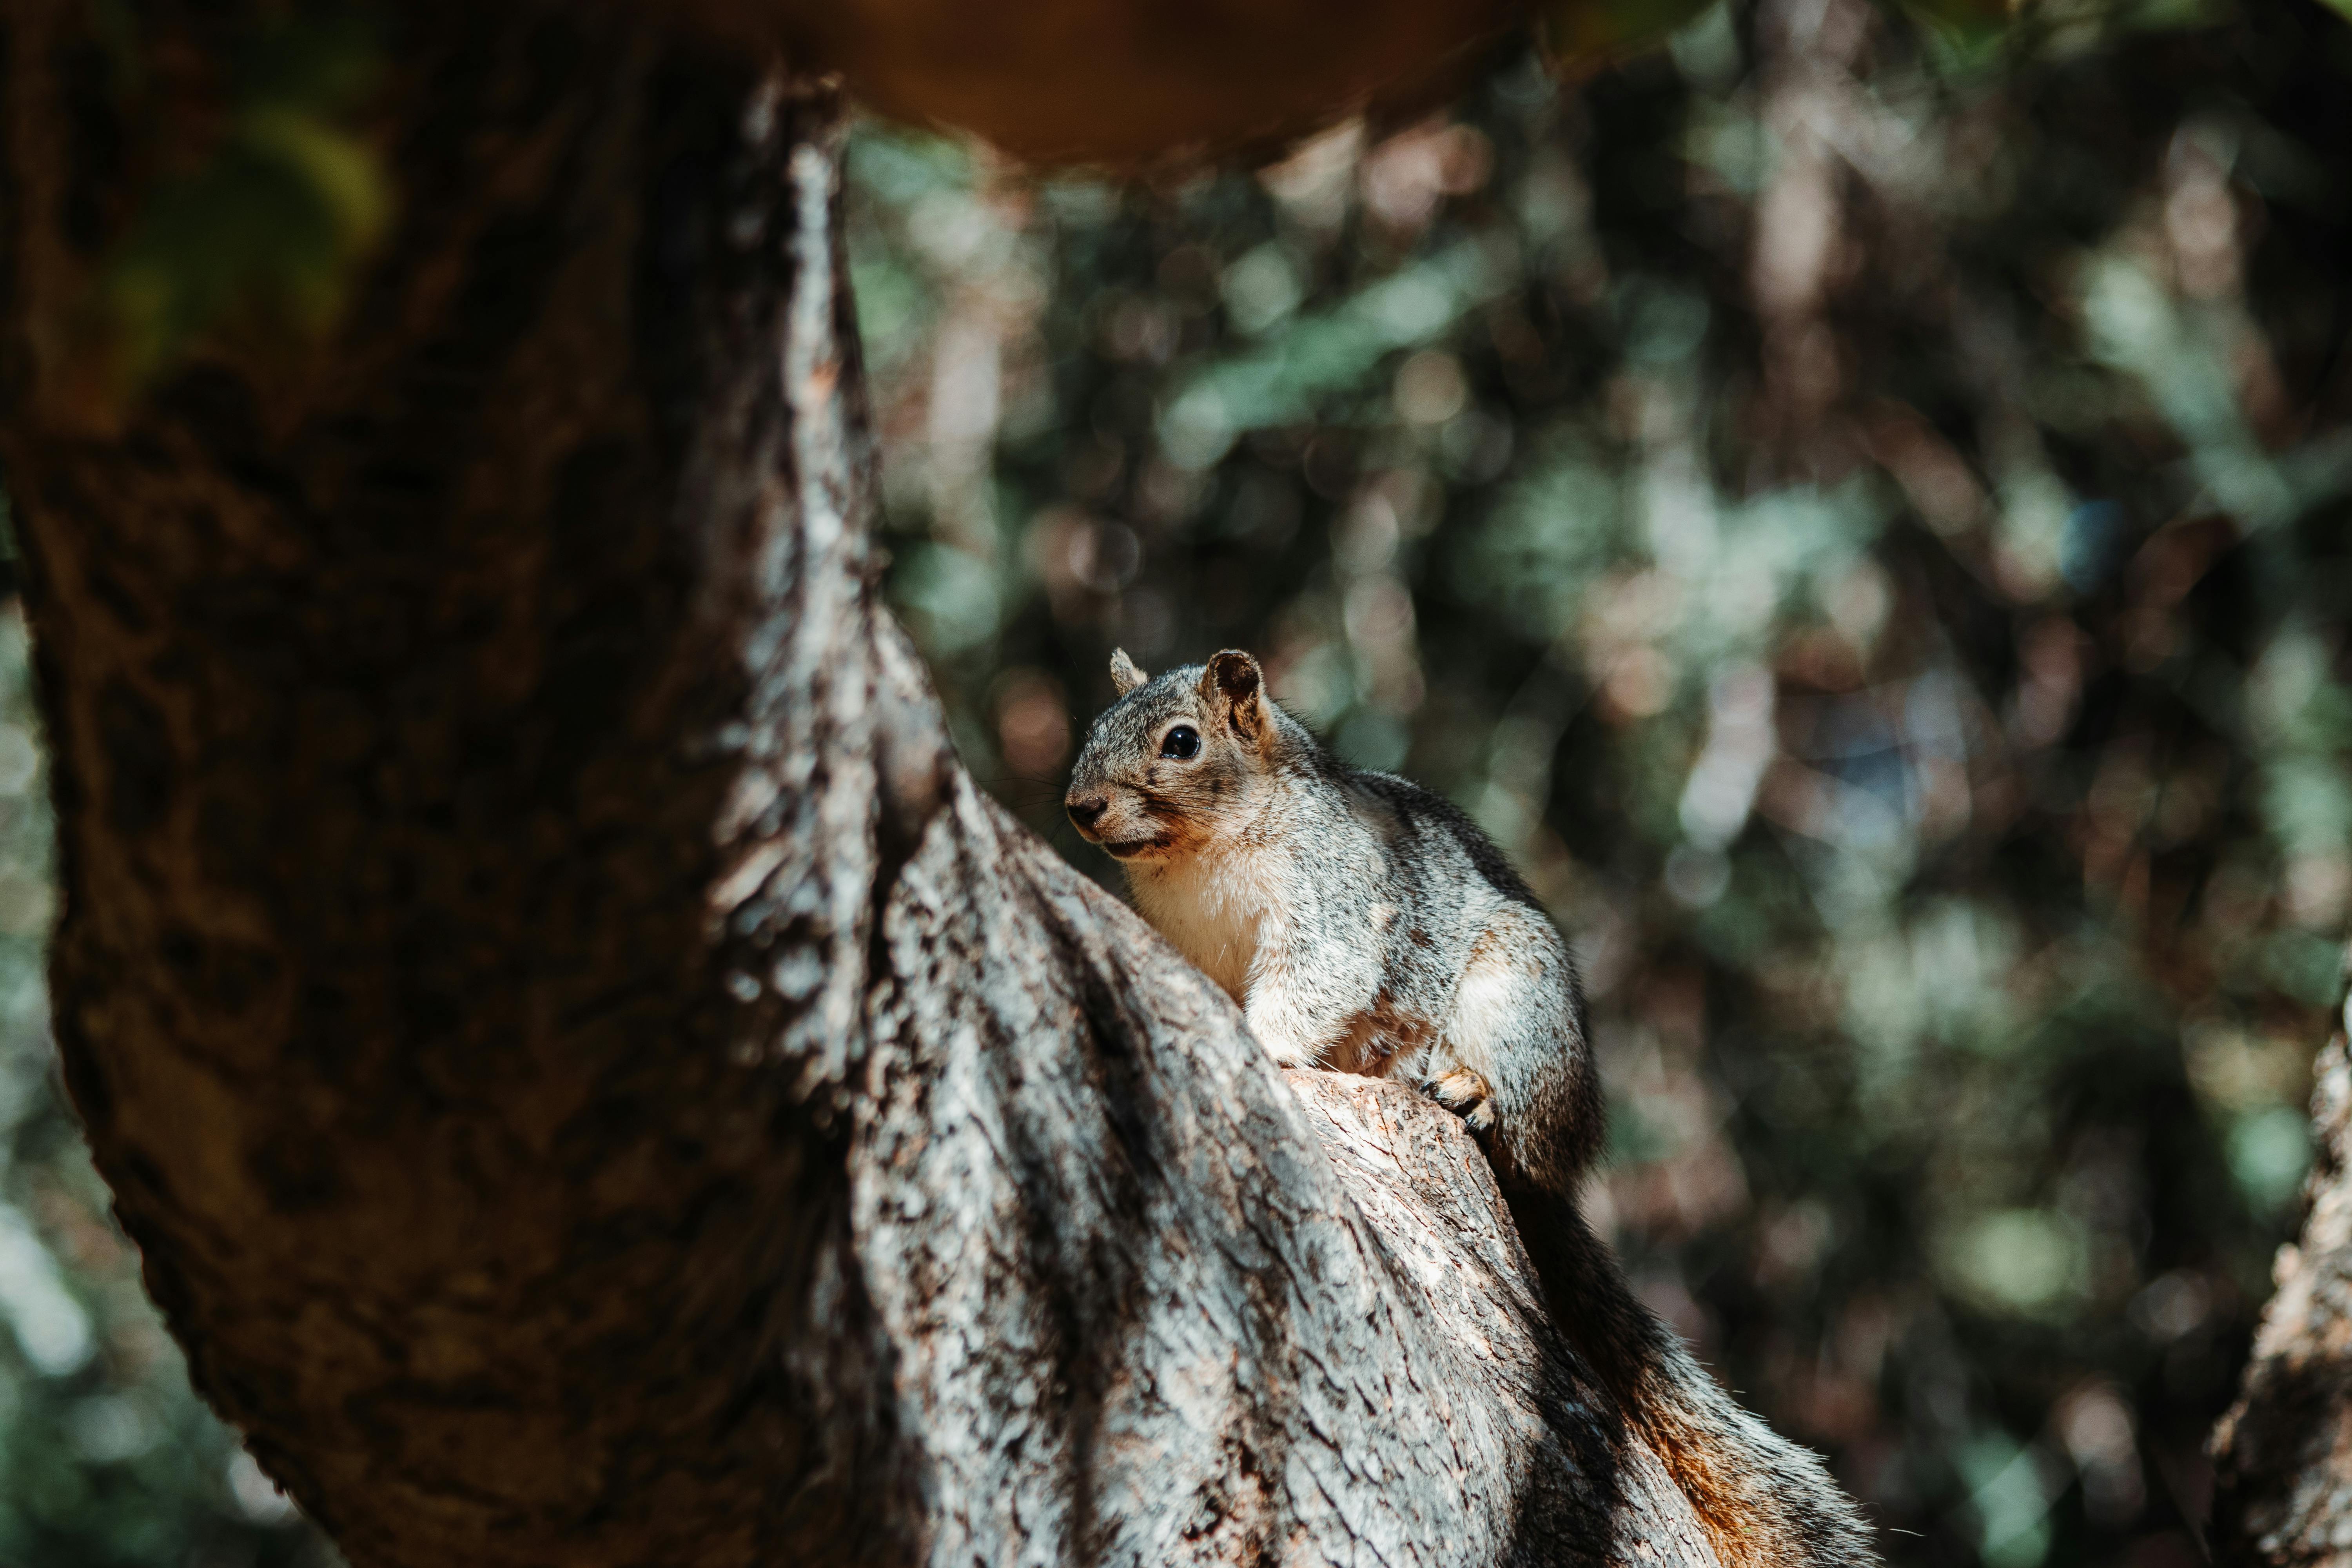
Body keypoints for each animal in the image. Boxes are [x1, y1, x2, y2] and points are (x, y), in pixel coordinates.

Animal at [1065, 647, 1879, 1568]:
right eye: (1096, 726)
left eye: (1182, 741)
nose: (1080, 807)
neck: (1200, 856)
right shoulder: (1182, 937)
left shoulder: (1333, 908)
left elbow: (1314, 982)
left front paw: (1263, 1042)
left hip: (1514, 1001)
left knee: (1521, 1131)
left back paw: (1469, 1093)